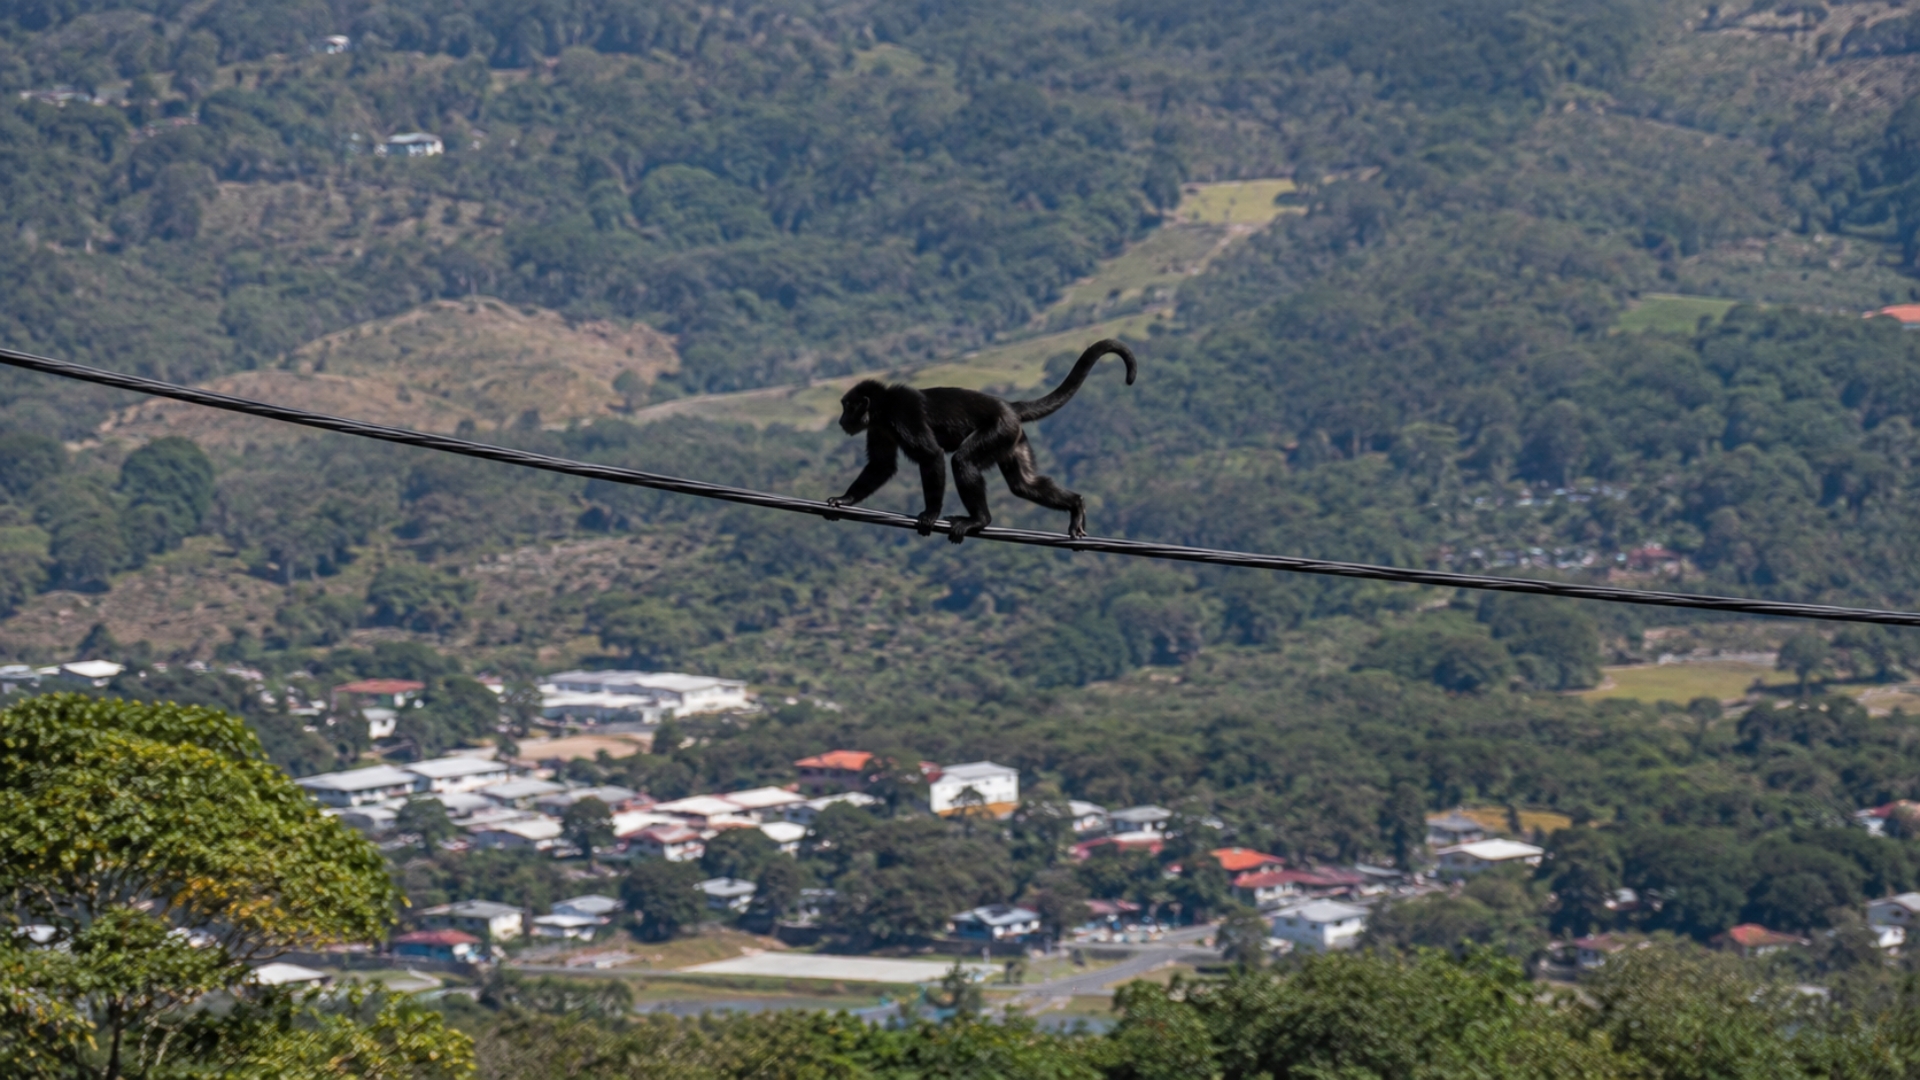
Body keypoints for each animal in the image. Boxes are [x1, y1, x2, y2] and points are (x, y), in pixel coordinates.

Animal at [826, 338, 1136, 543]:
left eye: (847, 407)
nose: (841, 419)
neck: (883, 408)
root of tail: (1010, 407)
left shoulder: (903, 415)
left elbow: (931, 455)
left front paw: (931, 513)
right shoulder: (879, 428)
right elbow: (882, 465)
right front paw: (844, 499)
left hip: (999, 429)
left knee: (963, 461)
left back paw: (979, 520)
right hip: (1013, 437)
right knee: (1023, 484)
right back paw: (1076, 505)